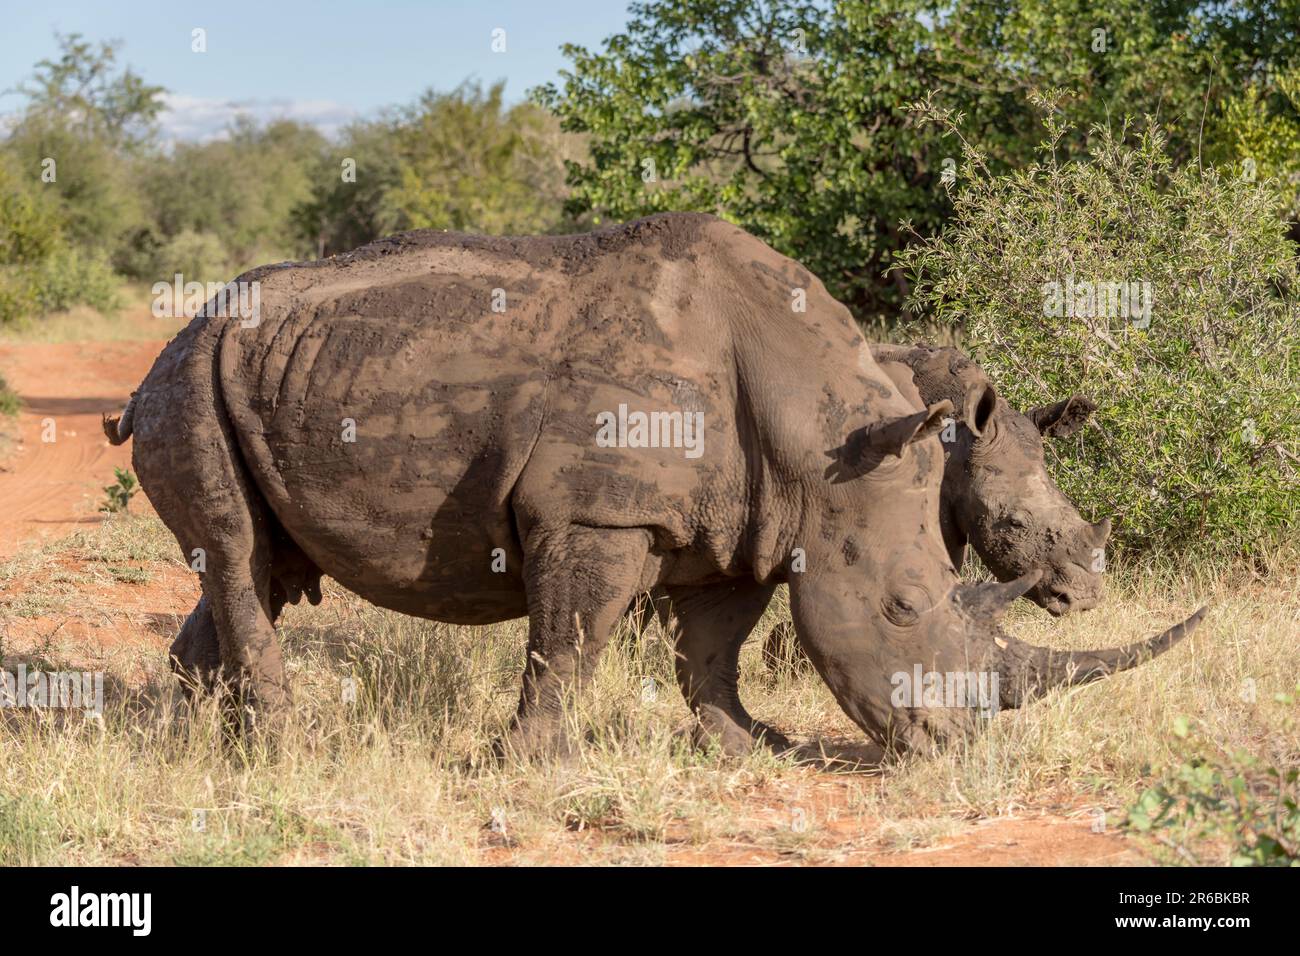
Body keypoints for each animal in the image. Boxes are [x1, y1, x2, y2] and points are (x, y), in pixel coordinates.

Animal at [105, 213, 1203, 756]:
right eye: (901, 606)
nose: (957, 742)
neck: (822, 429)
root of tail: (170, 342)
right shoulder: (596, 513)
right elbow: (568, 643)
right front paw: (530, 764)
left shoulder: (756, 519)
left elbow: (711, 650)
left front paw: (750, 747)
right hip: (186, 383)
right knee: (236, 552)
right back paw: (284, 748)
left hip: (244, 376)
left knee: (256, 564)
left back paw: (205, 743)